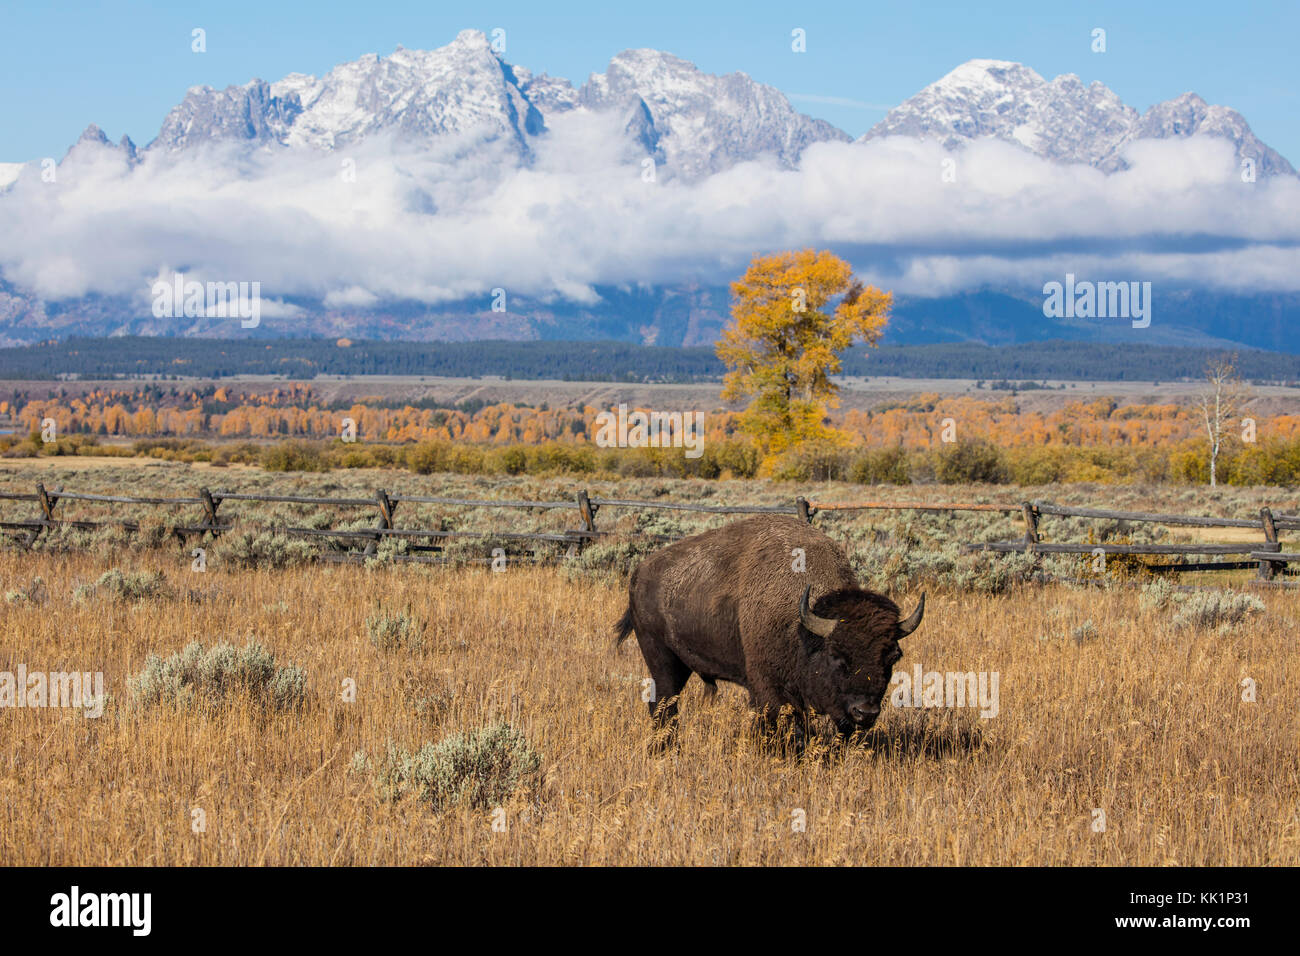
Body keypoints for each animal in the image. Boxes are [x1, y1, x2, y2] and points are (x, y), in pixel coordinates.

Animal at [614, 514, 924, 745]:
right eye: (837, 654)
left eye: (893, 657)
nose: (865, 712)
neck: (803, 628)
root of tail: (639, 572)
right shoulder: (768, 689)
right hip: (661, 658)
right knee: (664, 703)